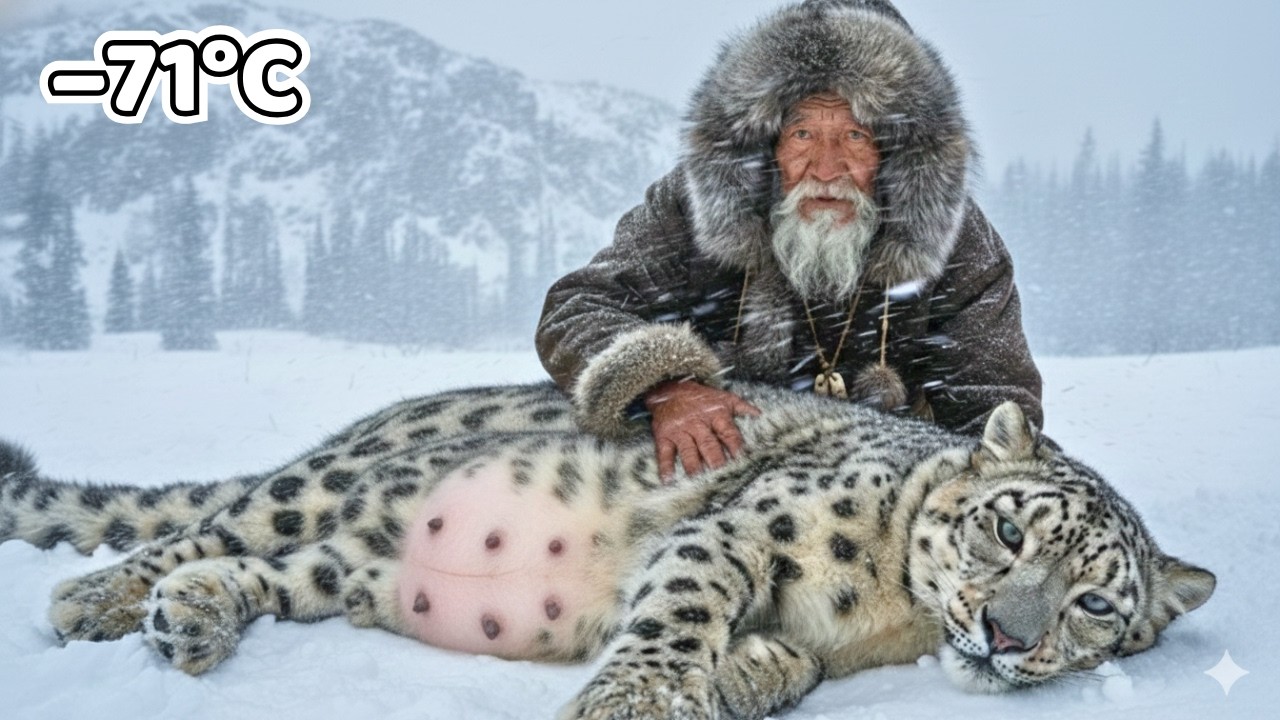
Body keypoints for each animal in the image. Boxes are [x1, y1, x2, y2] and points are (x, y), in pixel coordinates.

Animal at [0, 381, 1214, 719]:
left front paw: (743, 677)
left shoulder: (821, 641)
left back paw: (194, 618)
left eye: (1094, 605)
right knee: (215, 525)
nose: (1004, 636)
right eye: (1007, 528)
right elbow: (684, 600)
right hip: (334, 490)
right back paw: (103, 601)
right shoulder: (745, 526)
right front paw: (636, 700)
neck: (885, 613)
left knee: (274, 572)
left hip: (352, 559)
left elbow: (786, 663)